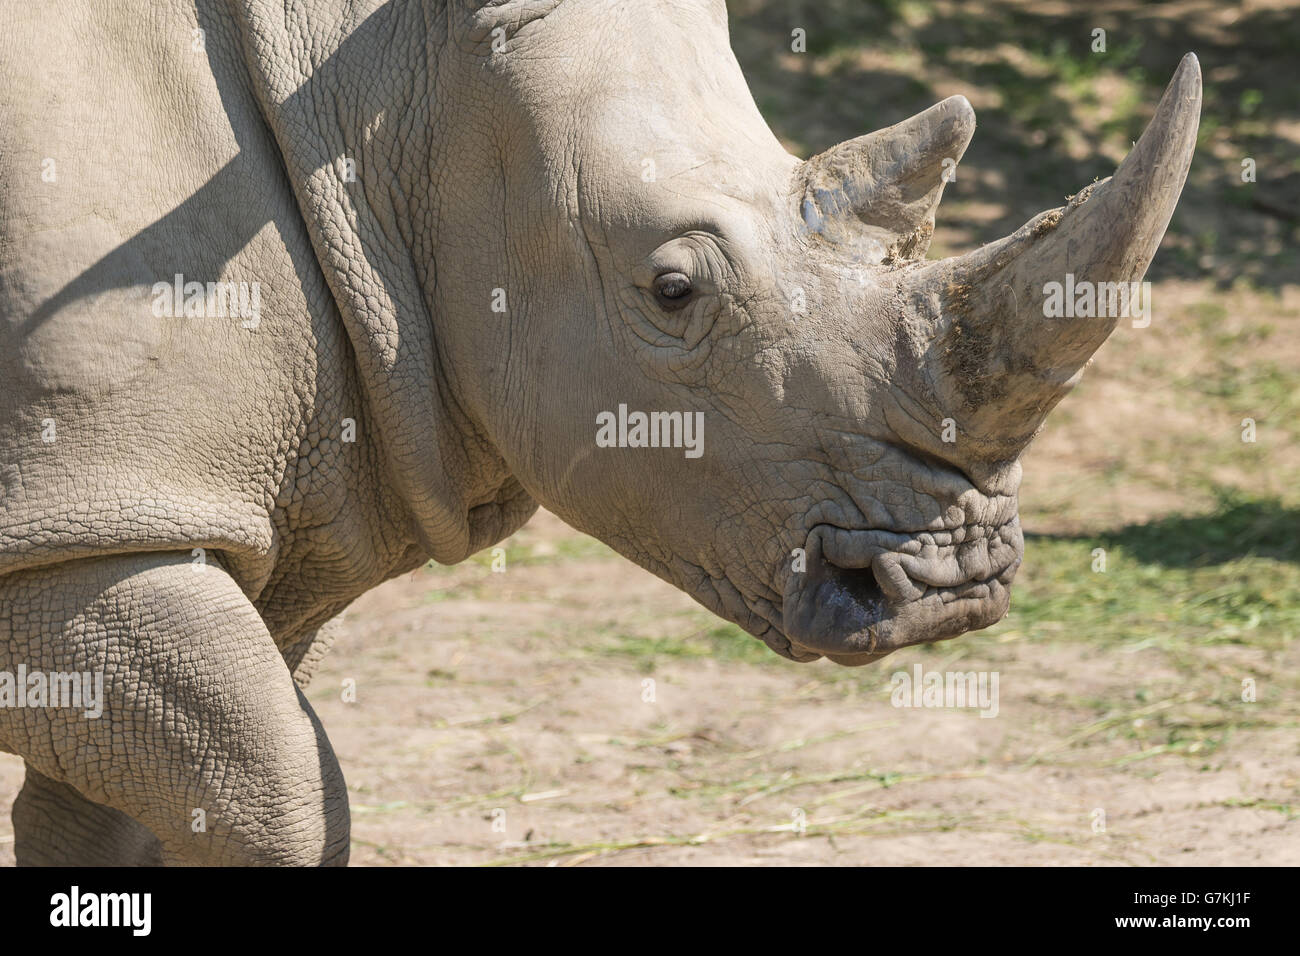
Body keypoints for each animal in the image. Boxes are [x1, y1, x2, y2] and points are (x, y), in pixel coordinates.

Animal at [0, 0, 1200, 865]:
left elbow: (124, 812)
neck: (371, 89)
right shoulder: (83, 519)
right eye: (672, 290)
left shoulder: (173, 508)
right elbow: (279, 790)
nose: (958, 583)